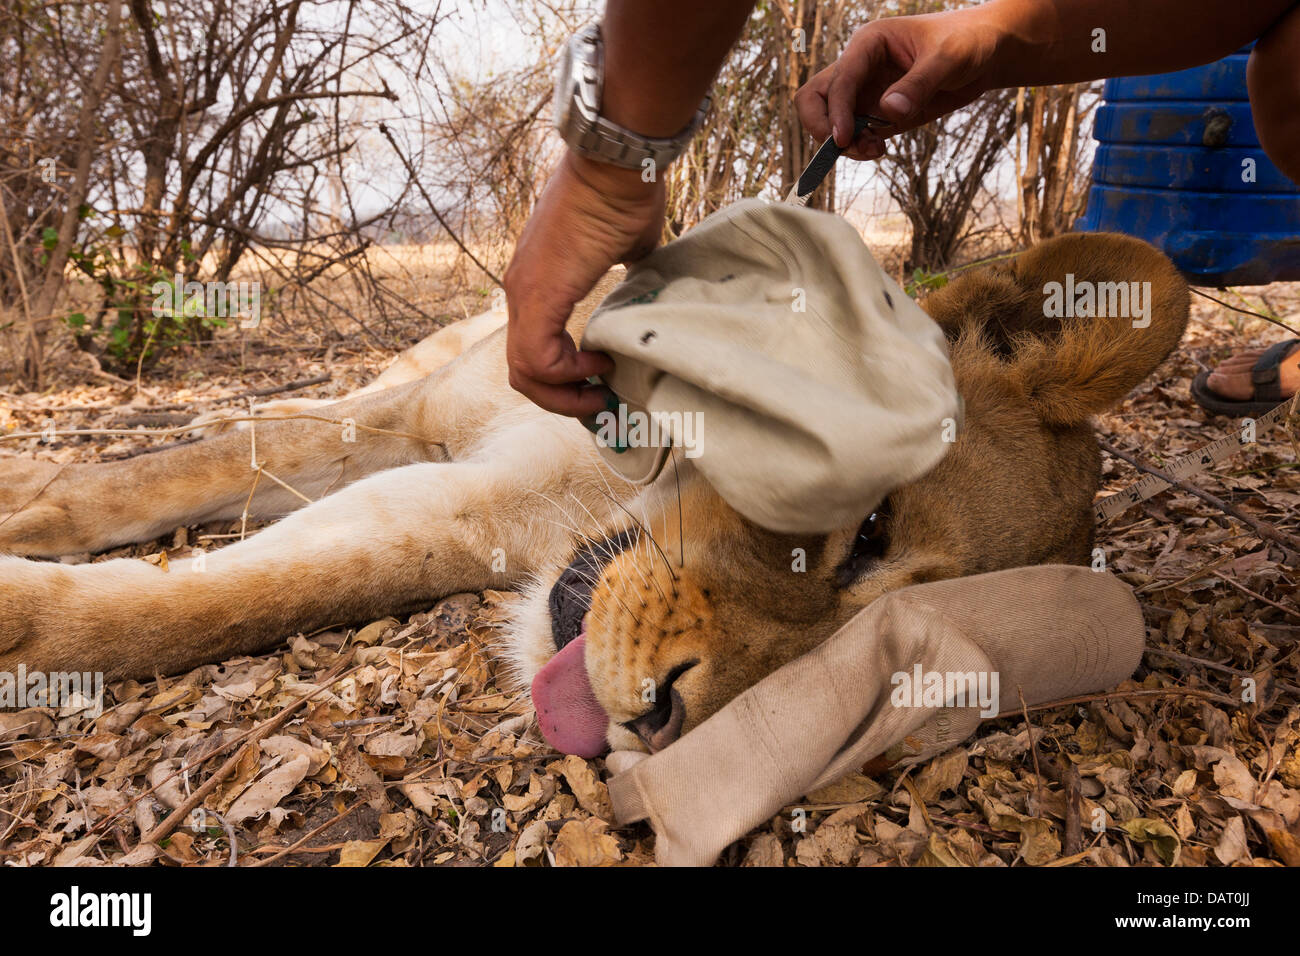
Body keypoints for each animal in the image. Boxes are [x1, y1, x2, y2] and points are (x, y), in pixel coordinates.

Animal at [0, 231, 1188, 757]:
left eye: (865, 675)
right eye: (869, 531)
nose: (656, 716)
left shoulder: (447, 514)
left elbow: (232, 601)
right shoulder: (411, 417)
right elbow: (181, 473)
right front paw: (31, 505)